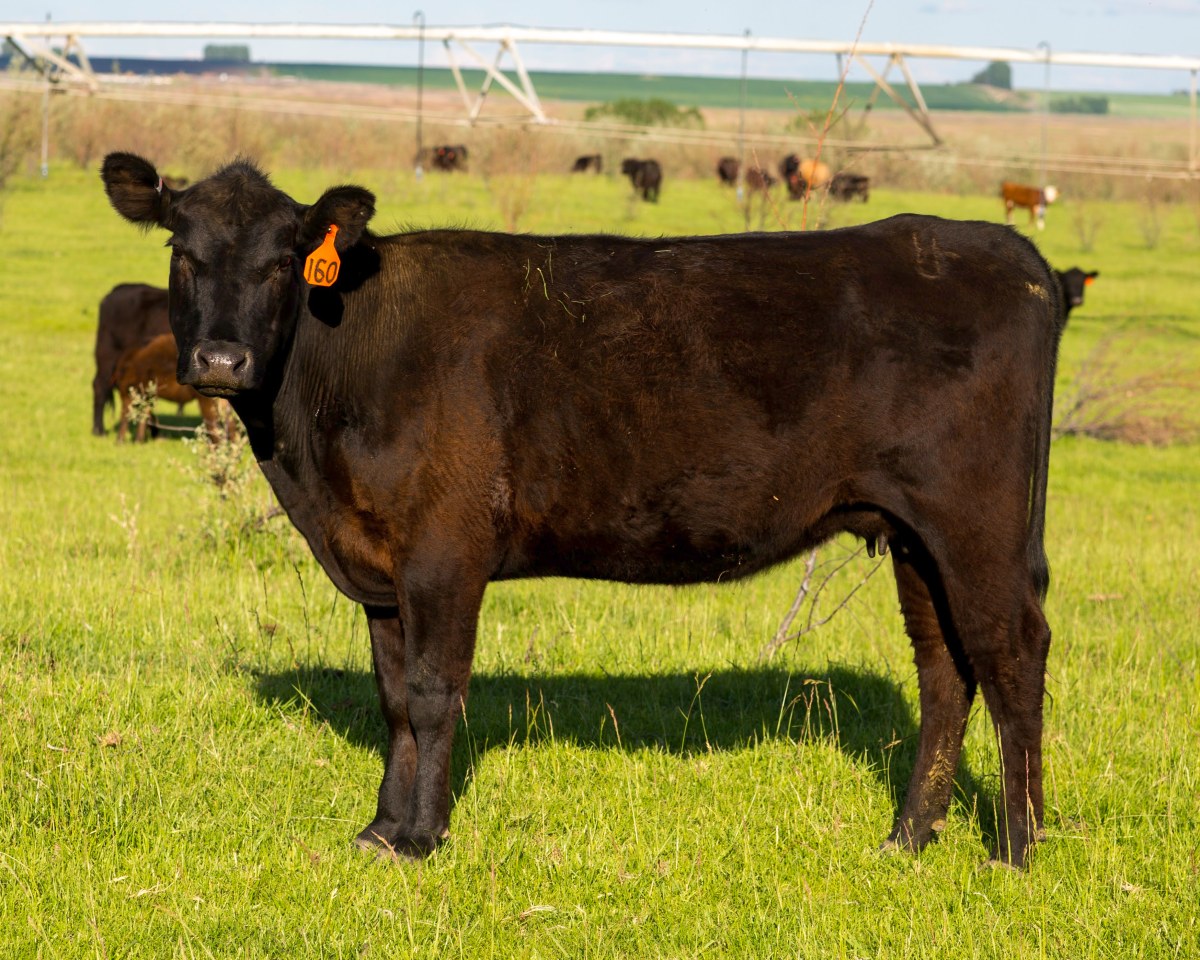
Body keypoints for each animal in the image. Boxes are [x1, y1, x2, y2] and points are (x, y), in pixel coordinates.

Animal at [102, 150, 1063, 868]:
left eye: (281, 265)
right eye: (183, 253)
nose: (220, 361)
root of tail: (998, 248)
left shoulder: (445, 553)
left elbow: (432, 691)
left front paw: (420, 838)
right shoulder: (379, 563)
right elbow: (391, 696)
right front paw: (380, 826)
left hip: (974, 522)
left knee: (1012, 652)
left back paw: (1015, 849)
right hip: (911, 533)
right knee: (945, 669)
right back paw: (909, 837)